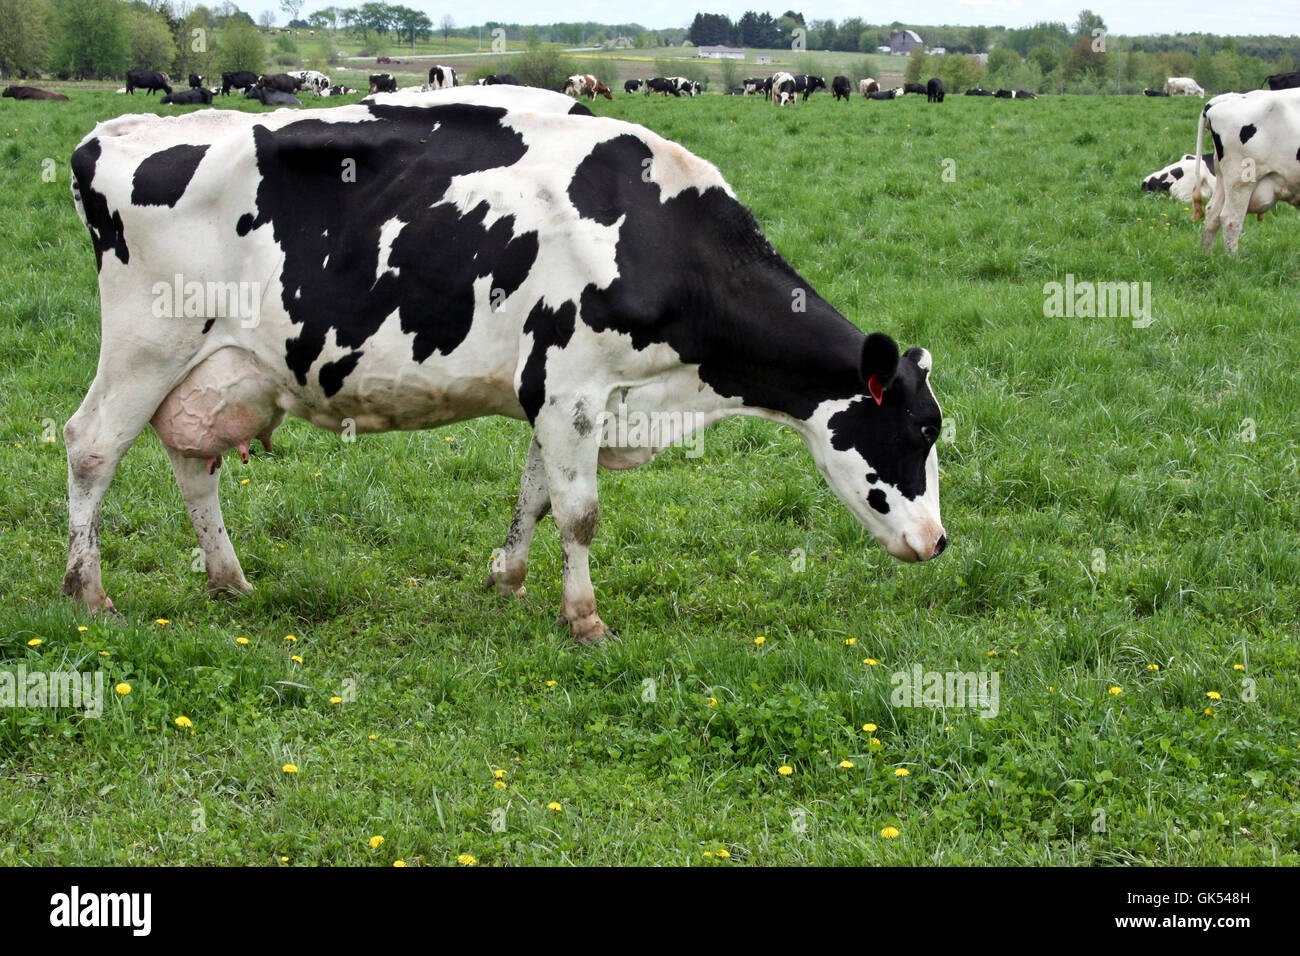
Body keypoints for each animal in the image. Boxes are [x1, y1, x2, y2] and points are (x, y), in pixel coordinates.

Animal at [63, 85, 946, 644]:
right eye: (917, 431)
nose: (938, 543)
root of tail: (113, 132)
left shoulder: (557, 394)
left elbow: (536, 499)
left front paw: (507, 581)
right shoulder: (572, 384)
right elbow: (580, 513)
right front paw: (585, 620)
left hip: (214, 367)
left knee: (191, 459)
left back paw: (229, 579)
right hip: (147, 344)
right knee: (92, 446)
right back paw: (89, 594)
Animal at [1193, 88, 1300, 252]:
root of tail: (1227, 97)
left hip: (1223, 177)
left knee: (1212, 213)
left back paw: (1206, 255)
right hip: (1241, 179)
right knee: (1230, 218)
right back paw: (1232, 258)